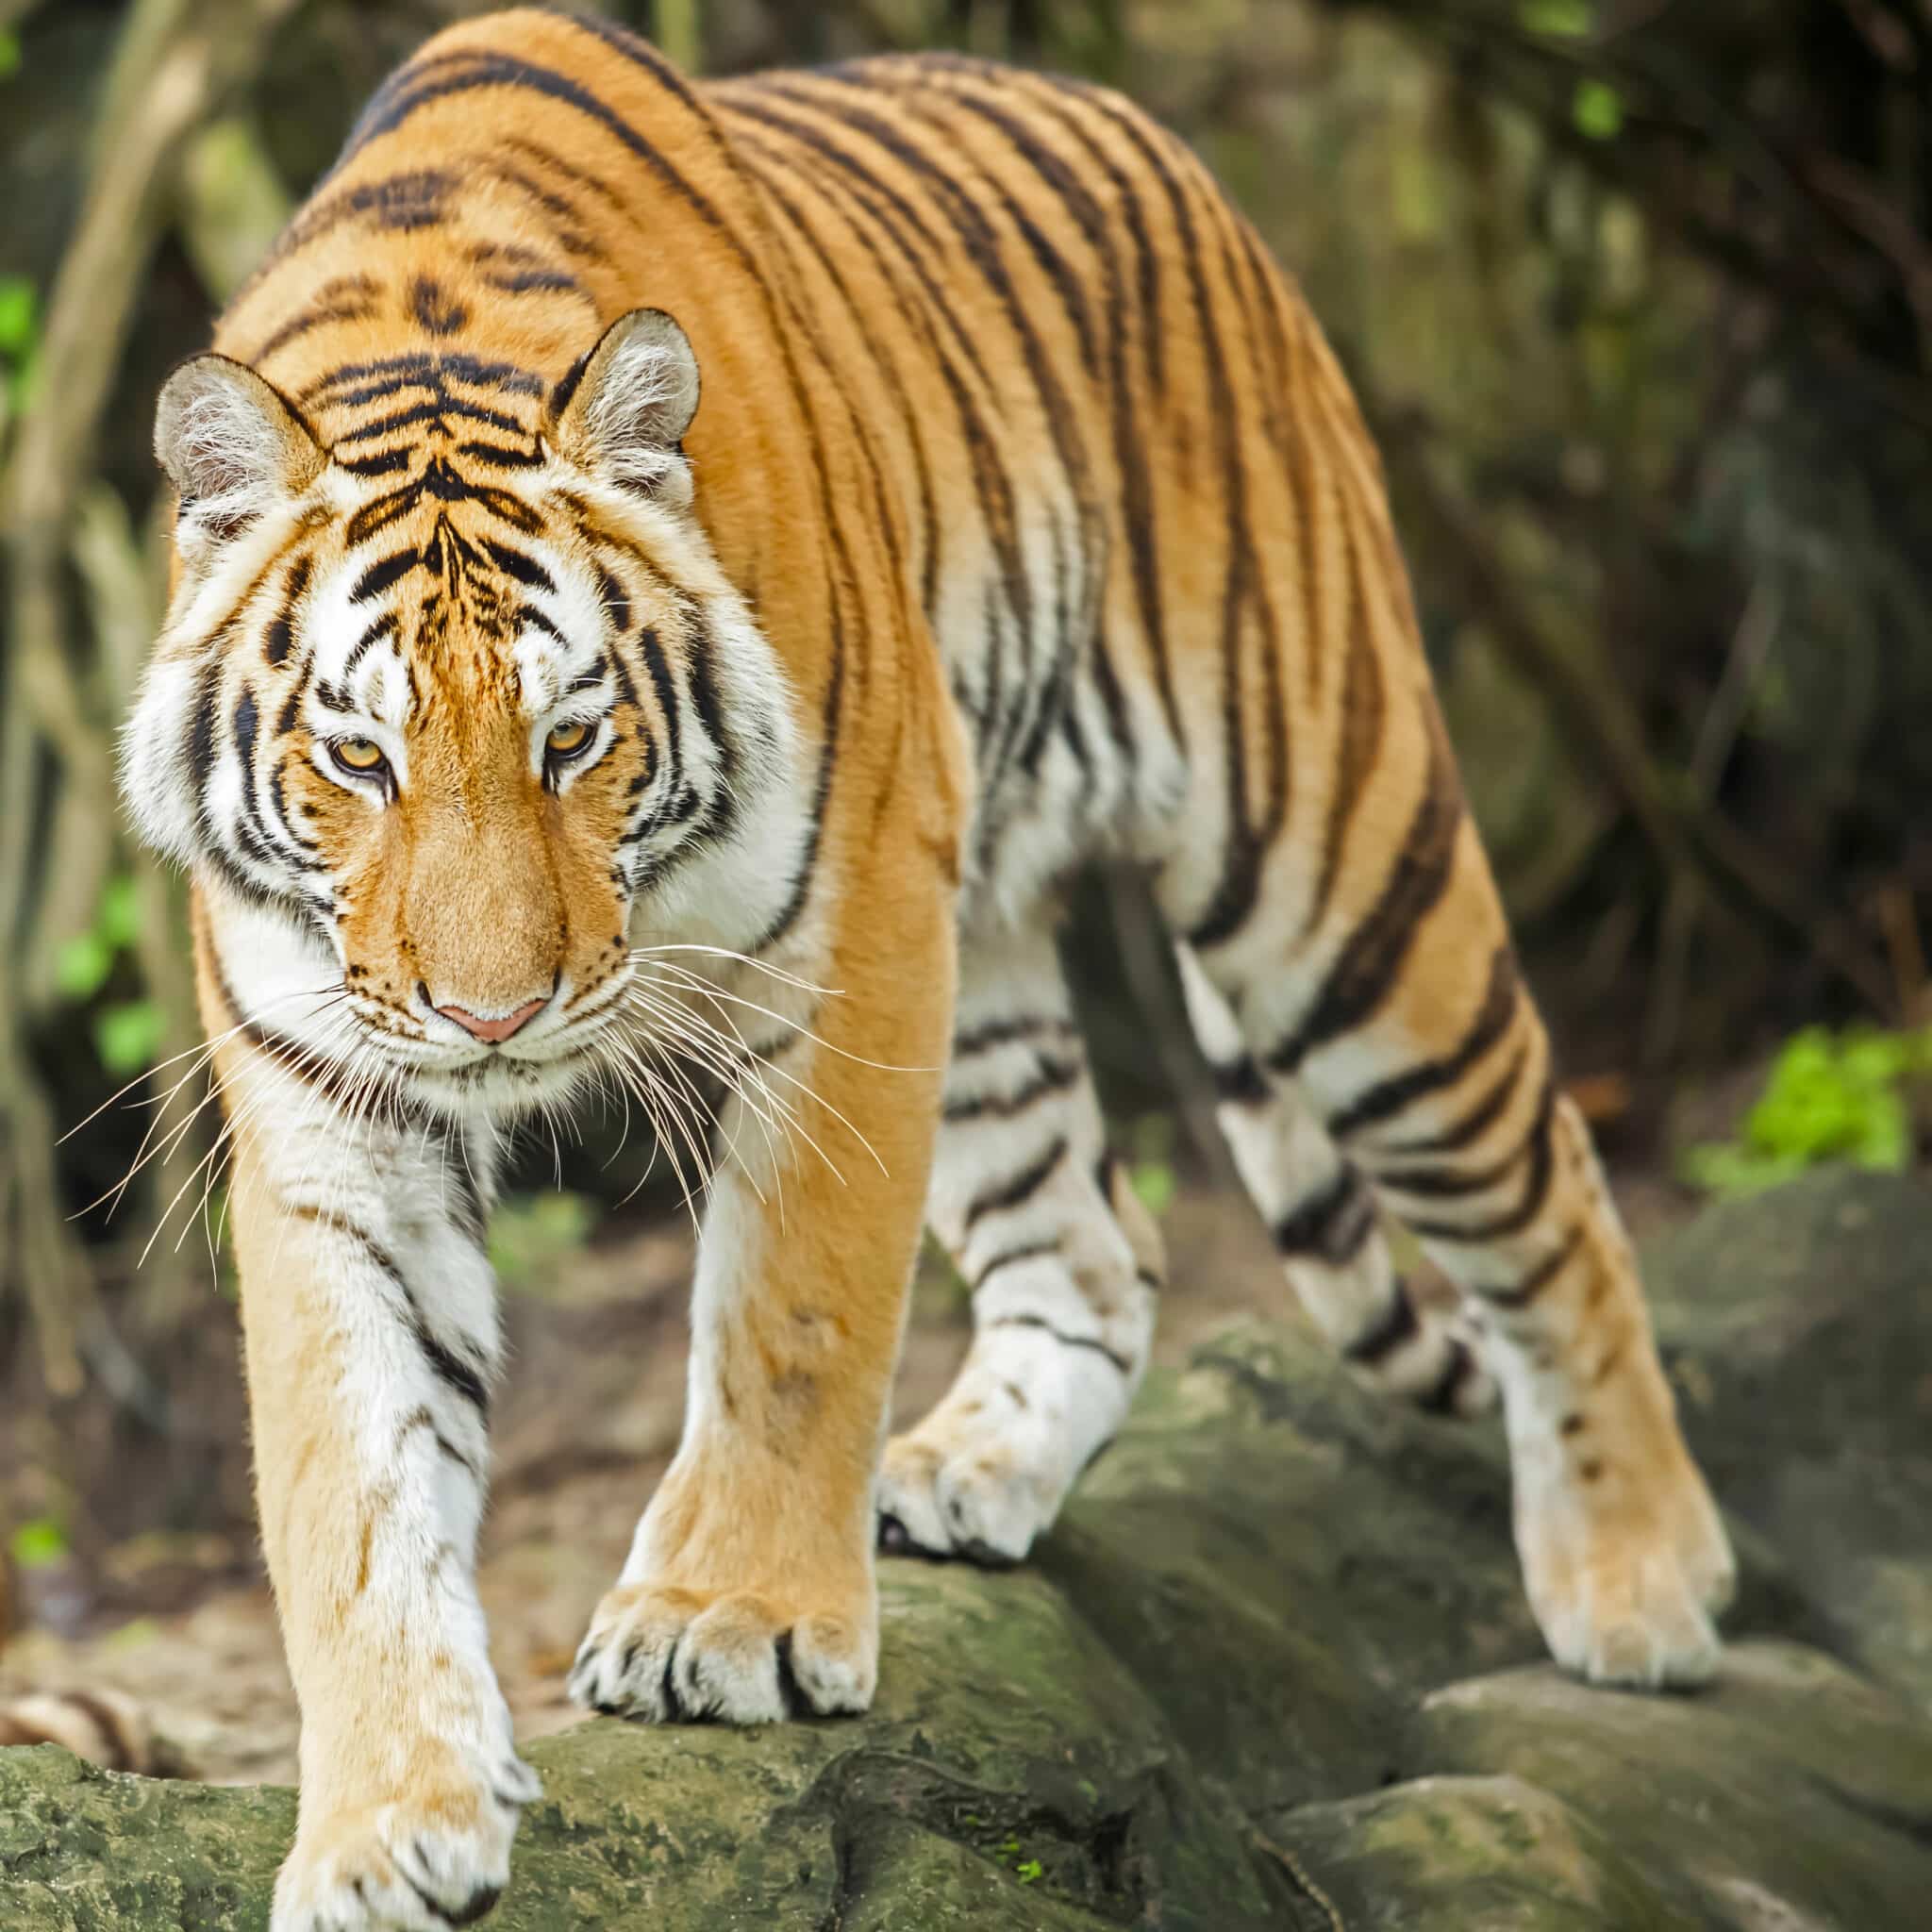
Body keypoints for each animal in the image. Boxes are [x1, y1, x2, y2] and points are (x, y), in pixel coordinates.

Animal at [119, 9, 1735, 1926]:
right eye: (358, 760)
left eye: (573, 735)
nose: (493, 1016)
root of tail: (1148, 138)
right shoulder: (333, 1096)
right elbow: (345, 1467)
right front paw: (381, 1825)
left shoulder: (858, 931)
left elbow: (794, 1307)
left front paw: (729, 1621)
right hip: (1004, 978)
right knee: (1098, 1247)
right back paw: (972, 1472)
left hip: (1333, 872)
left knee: (1550, 1191)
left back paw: (1645, 1585)